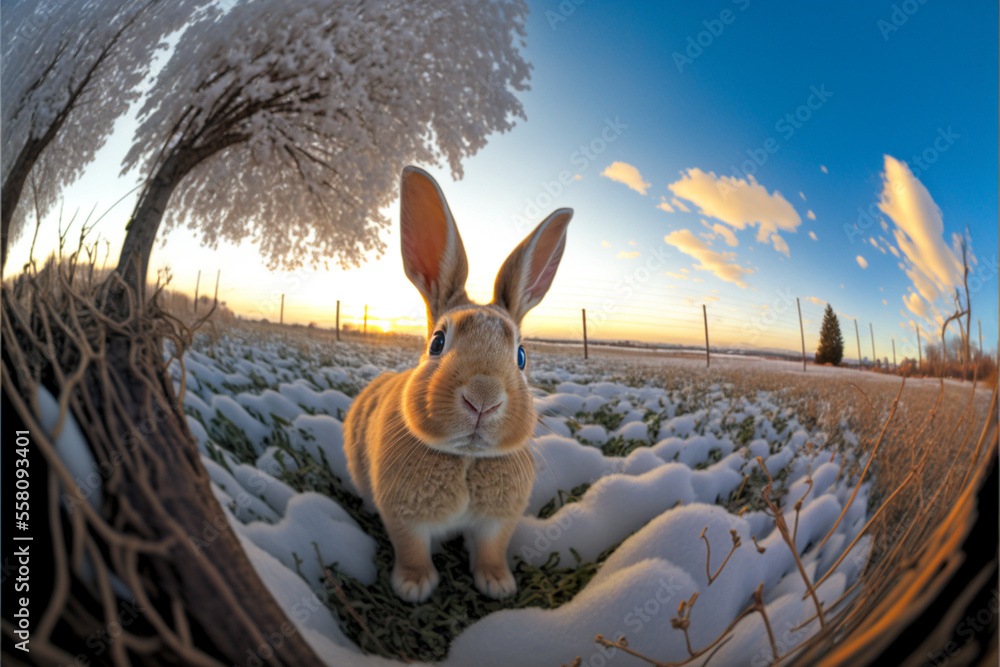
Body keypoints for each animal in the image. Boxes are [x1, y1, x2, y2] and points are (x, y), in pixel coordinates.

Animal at [343, 166, 572, 603]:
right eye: (437, 342)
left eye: (521, 356)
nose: (483, 398)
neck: (466, 459)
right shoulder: (405, 518)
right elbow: (412, 549)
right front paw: (414, 587)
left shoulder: (497, 523)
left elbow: (491, 550)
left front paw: (497, 584)